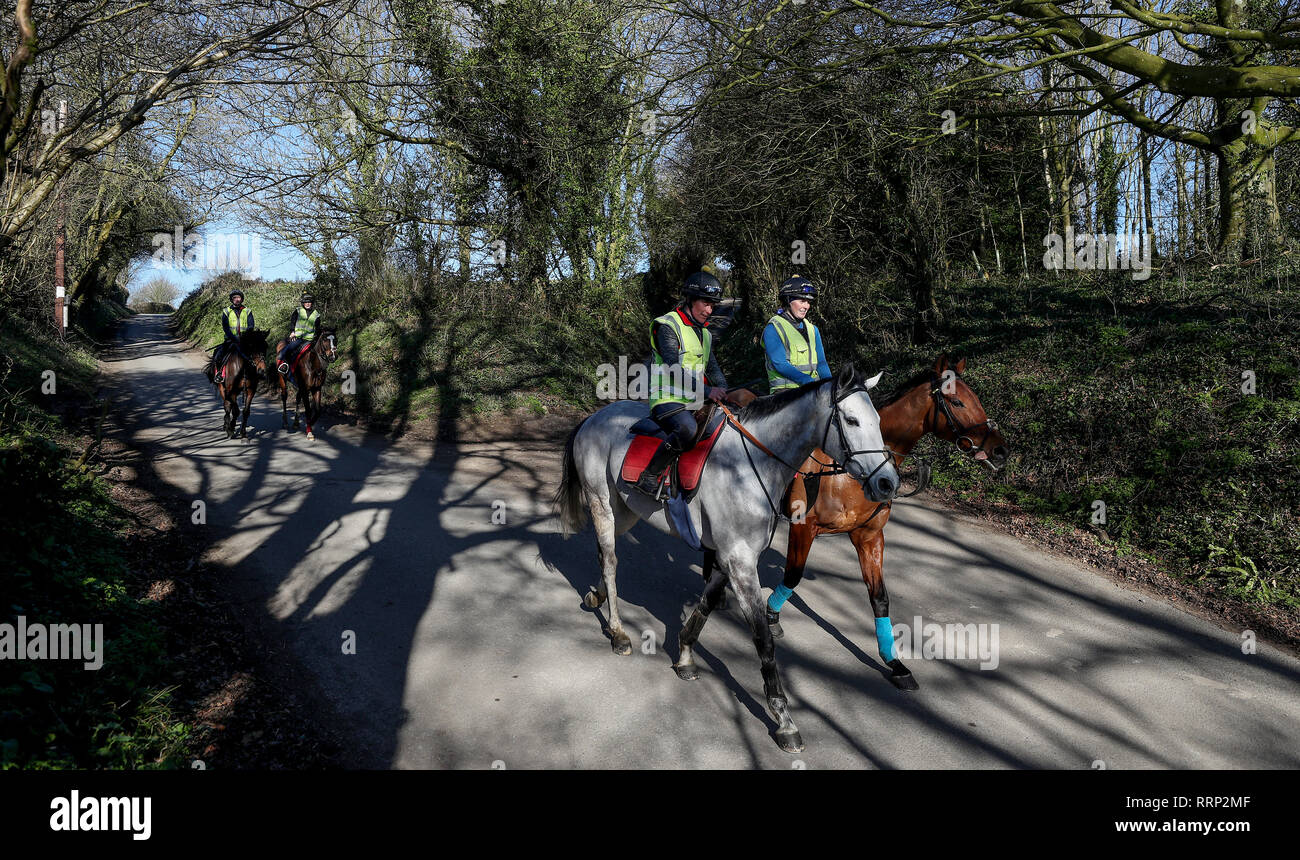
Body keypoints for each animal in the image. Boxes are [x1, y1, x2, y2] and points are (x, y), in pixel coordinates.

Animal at [553, 363, 900, 752]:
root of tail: (593, 418)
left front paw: (685, 657)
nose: (888, 483)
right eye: (852, 420)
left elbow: (704, 608)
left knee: (607, 554)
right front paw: (784, 720)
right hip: (602, 504)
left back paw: (595, 595)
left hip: (626, 509)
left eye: (878, 421)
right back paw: (617, 632)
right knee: (610, 561)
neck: (751, 467)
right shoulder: (741, 563)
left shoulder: (727, 559)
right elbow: (763, 639)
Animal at [738, 354, 1009, 691]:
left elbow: (880, 598)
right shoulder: (804, 528)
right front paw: (772, 617)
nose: (1000, 450)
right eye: (957, 401)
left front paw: (894, 662)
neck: (852, 469)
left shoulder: (869, 536)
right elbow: (792, 576)